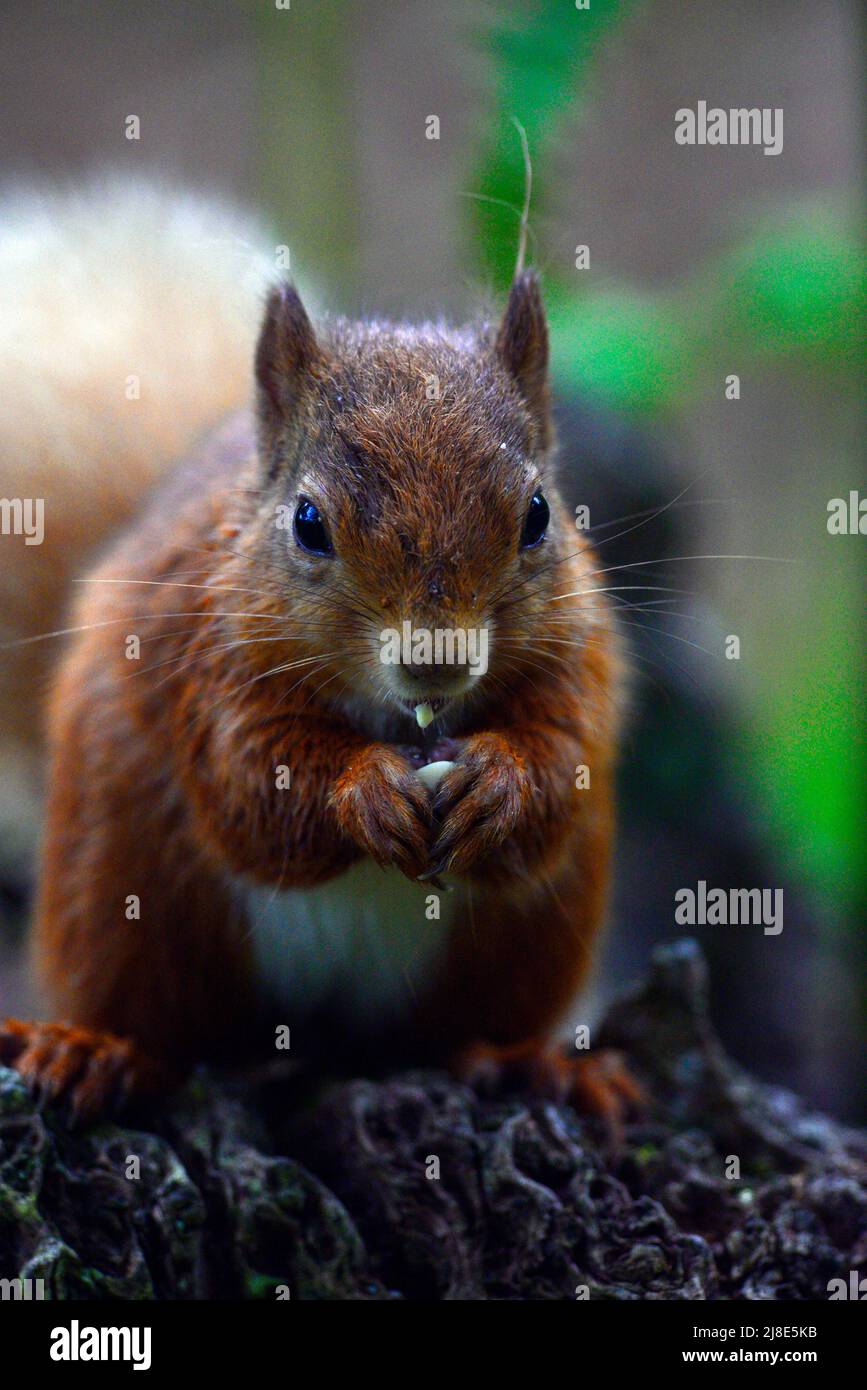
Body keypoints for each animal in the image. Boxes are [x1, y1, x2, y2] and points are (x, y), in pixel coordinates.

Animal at [0, 183, 639, 1126]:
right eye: (308, 523)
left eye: (537, 515)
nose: (437, 664)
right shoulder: (209, 668)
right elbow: (251, 782)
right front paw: (362, 791)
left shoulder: (576, 661)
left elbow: (561, 763)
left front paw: (501, 783)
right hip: (122, 893)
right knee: (152, 1016)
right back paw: (96, 1051)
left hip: (527, 943)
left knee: (466, 1031)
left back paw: (534, 1062)